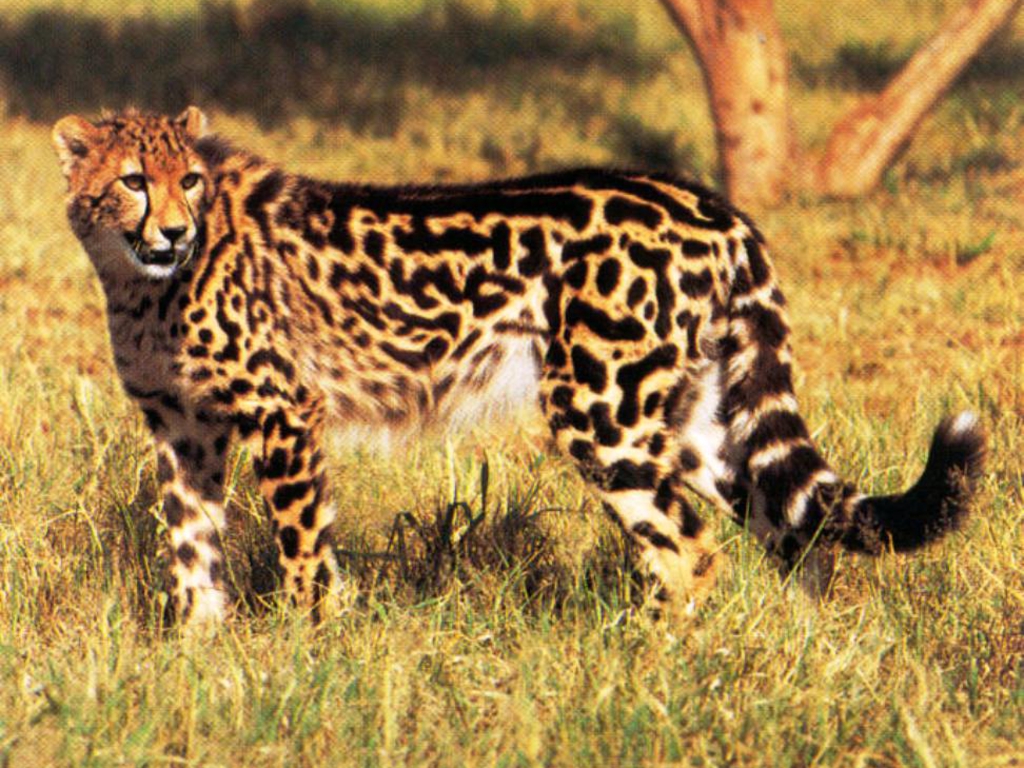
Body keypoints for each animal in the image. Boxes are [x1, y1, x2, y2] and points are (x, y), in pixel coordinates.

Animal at [53, 106, 985, 627]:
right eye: (133, 180)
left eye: (190, 181)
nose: (175, 231)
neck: (141, 279)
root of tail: (713, 204)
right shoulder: (184, 429)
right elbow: (190, 548)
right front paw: (200, 656)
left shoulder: (286, 413)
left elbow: (304, 555)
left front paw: (308, 656)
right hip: (691, 418)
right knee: (797, 527)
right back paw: (796, 663)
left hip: (604, 415)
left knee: (688, 550)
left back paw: (645, 674)